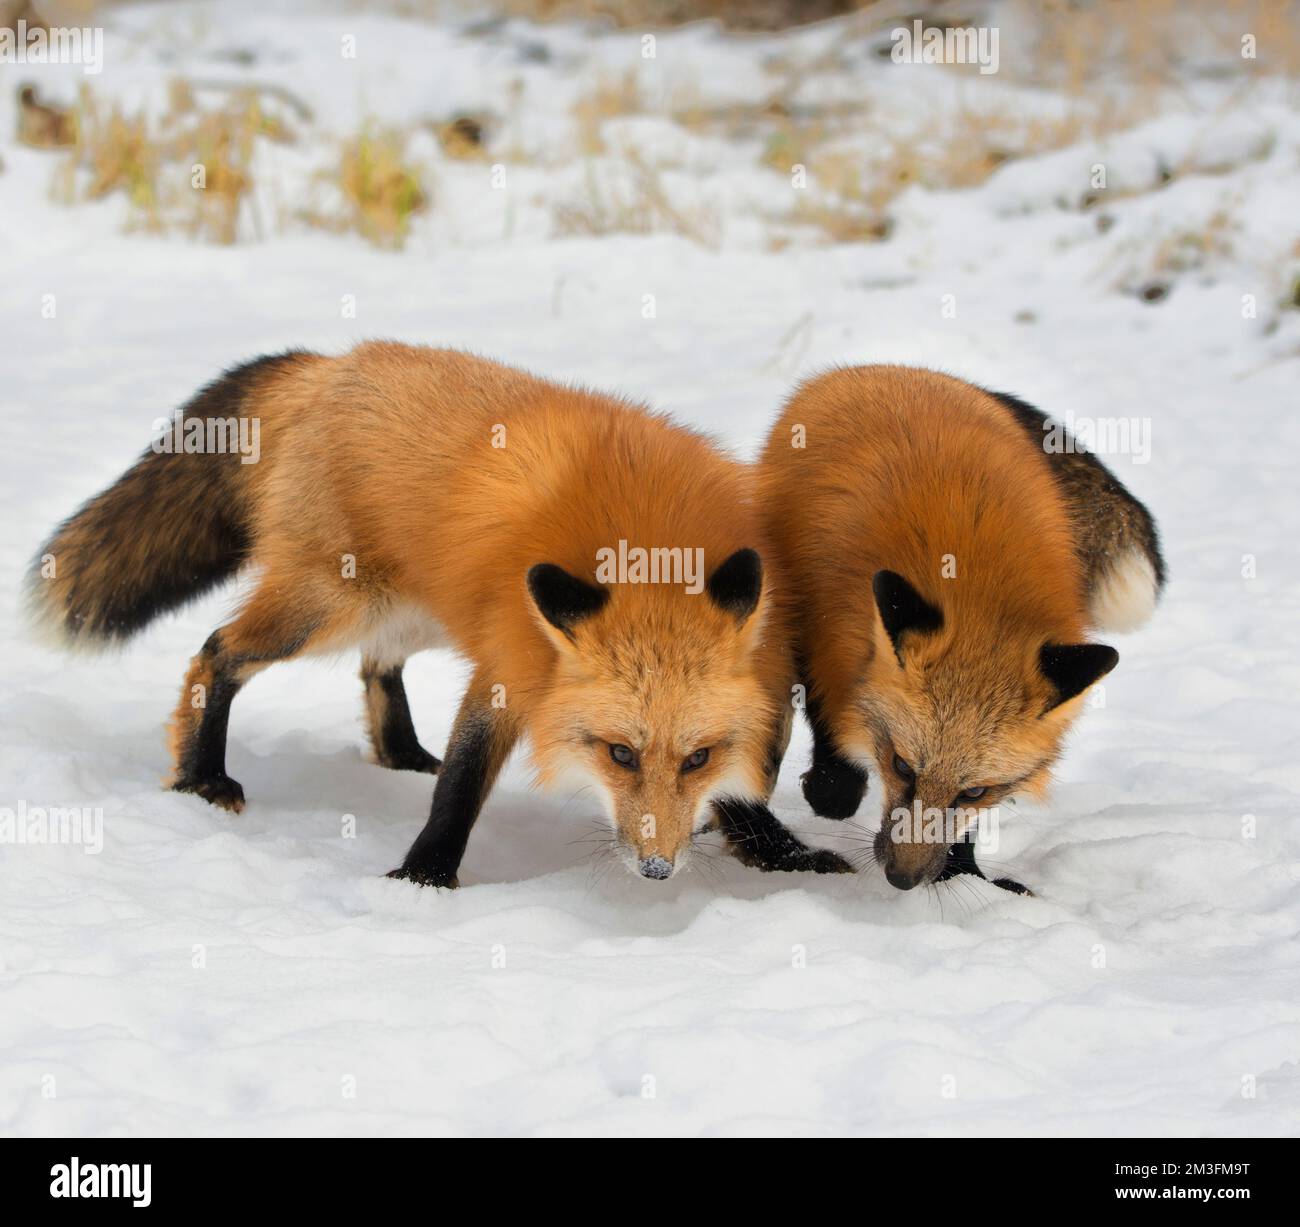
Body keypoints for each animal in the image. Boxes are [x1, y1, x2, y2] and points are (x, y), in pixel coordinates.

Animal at [28, 342, 849, 887]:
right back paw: (203, 777)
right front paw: (424, 878)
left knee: (375, 668)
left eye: (697, 758)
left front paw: (782, 852)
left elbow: (744, 791)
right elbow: (463, 779)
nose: (655, 869)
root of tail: (327, 364)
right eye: (618, 754)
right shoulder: (511, 661)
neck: (649, 551)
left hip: (413, 609)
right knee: (215, 652)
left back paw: (397, 754)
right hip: (331, 605)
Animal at [758, 366, 1165, 894]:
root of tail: (910, 370)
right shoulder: (816, 630)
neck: (974, 578)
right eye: (902, 766)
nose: (903, 879)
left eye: (973, 791)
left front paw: (963, 872)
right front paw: (832, 788)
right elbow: (829, 724)